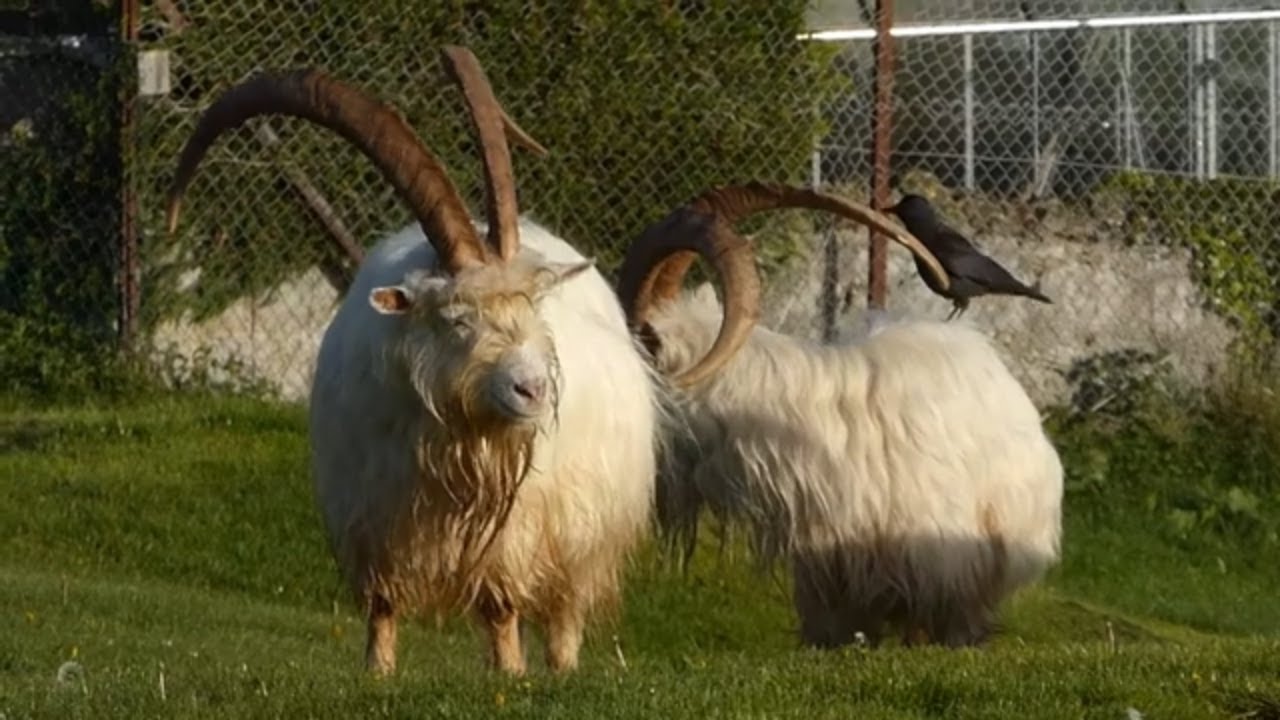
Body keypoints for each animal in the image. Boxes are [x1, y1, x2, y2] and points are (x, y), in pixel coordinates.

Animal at [164, 47, 755, 675]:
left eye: (533, 309)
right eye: (455, 317)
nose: (532, 390)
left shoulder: (514, 529)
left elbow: (500, 605)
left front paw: (510, 675)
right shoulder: (373, 514)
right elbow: (382, 602)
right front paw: (378, 672)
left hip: (582, 522)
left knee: (564, 608)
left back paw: (561, 671)